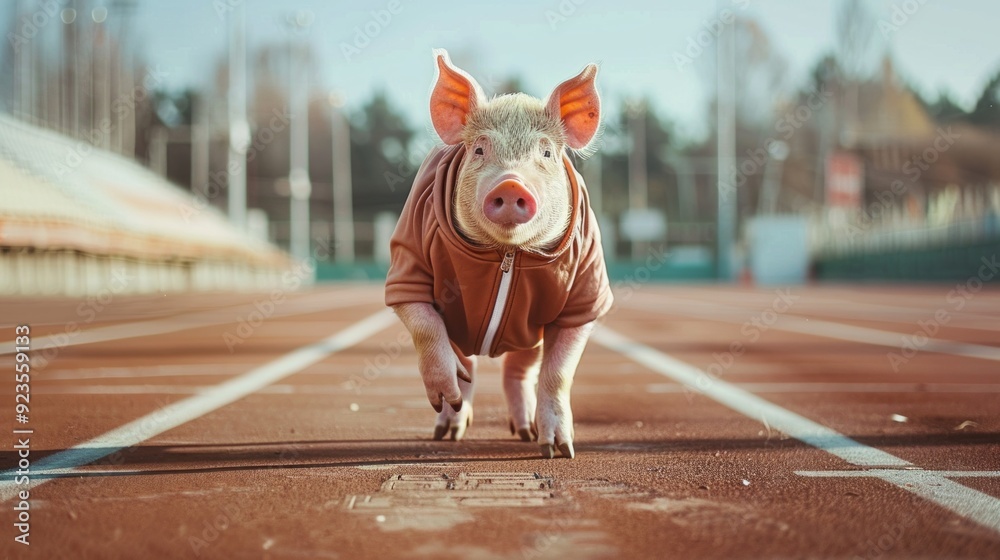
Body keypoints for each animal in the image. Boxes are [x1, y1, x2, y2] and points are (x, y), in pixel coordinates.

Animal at [385, 49, 613, 459]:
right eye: (479, 149)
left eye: (546, 152)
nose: (510, 184)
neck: (508, 253)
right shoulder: (406, 266)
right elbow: (425, 328)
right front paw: (445, 400)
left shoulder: (585, 294)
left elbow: (558, 374)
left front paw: (560, 451)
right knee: (466, 366)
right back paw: (449, 430)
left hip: (529, 332)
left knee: (519, 370)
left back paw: (525, 433)